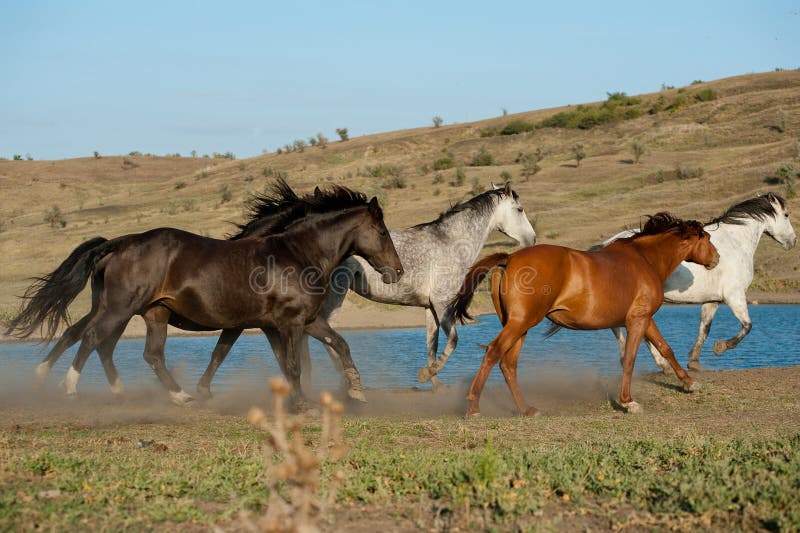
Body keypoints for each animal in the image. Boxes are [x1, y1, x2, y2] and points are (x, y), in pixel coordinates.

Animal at [5, 184, 403, 410]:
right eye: (383, 232)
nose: (396, 272)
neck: (296, 254)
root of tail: (119, 244)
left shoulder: (296, 322)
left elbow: (337, 345)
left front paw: (356, 392)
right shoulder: (288, 324)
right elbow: (291, 364)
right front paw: (304, 404)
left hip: (151, 313)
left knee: (144, 353)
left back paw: (176, 396)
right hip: (119, 308)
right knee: (90, 338)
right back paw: (69, 387)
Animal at [306, 182, 536, 391]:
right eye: (519, 209)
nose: (532, 239)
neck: (451, 243)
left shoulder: (430, 307)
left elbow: (431, 345)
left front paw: (435, 382)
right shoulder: (442, 303)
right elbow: (453, 340)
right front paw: (427, 374)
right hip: (334, 295)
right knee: (325, 333)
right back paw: (347, 381)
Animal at [448, 213, 719, 417]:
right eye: (706, 238)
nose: (716, 259)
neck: (645, 260)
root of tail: (510, 258)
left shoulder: (645, 319)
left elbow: (665, 348)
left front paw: (689, 383)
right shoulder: (637, 320)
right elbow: (630, 359)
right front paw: (628, 401)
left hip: (519, 326)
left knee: (508, 364)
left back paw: (526, 409)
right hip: (520, 323)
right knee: (493, 353)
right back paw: (473, 407)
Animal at [584, 194, 795, 372]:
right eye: (786, 215)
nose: (792, 242)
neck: (735, 243)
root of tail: (604, 246)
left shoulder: (713, 300)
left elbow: (705, 328)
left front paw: (694, 361)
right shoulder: (734, 295)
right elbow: (747, 326)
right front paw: (721, 347)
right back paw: (662, 365)